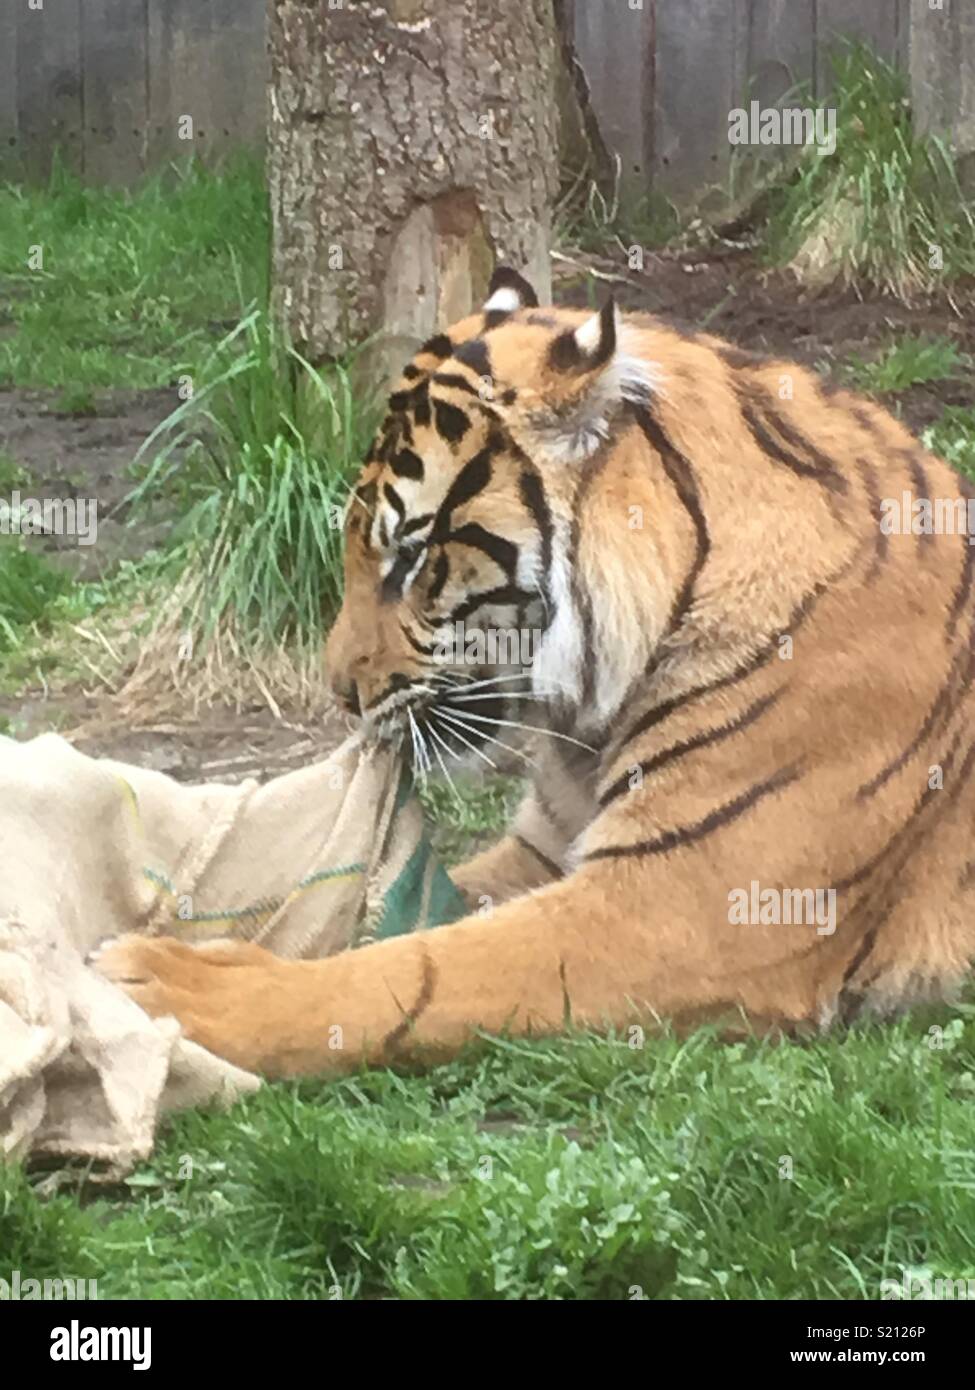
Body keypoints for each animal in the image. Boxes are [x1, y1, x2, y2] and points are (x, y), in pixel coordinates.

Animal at [96, 265, 975, 1078]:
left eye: (409, 555)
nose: (340, 693)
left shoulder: (685, 903)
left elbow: (417, 970)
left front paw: (166, 984)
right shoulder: (545, 850)